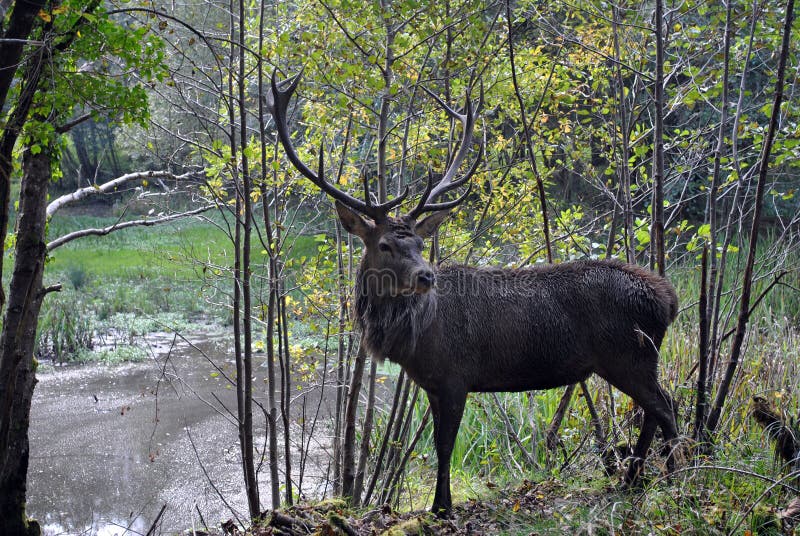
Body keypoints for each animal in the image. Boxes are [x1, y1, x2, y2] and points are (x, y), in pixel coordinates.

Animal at [267, 73, 679, 516]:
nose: (426, 276)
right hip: (637, 358)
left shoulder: (455, 375)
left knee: (666, 407)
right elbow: (439, 444)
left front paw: (441, 508)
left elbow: (444, 447)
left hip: (628, 354)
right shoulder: (432, 383)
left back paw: (680, 478)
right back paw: (634, 480)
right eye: (385, 245)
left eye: (419, 242)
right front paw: (441, 504)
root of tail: (668, 299)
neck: (414, 338)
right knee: (654, 411)